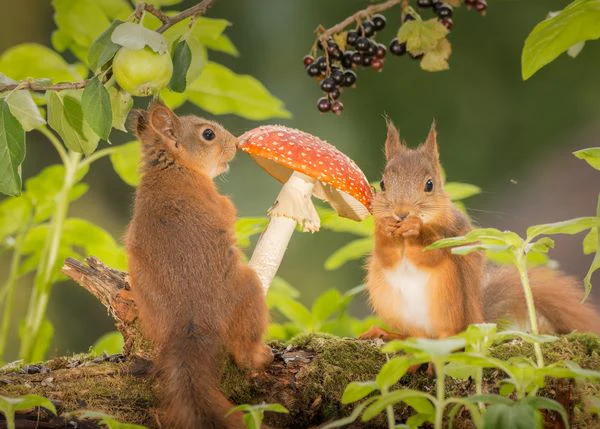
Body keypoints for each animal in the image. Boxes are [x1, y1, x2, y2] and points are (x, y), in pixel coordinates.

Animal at [126, 102, 272, 426]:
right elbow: (227, 210)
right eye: (208, 134)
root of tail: (193, 321)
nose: (236, 144)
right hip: (250, 290)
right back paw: (261, 355)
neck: (173, 167)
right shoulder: (216, 201)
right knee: (244, 352)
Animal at [364, 118, 600, 340]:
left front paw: (415, 228)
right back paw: (388, 333)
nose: (401, 213)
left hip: (446, 302)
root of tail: (475, 321)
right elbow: (385, 255)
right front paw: (387, 227)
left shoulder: (448, 237)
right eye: (382, 184)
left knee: (446, 337)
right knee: (415, 337)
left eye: (429, 185)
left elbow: (430, 254)